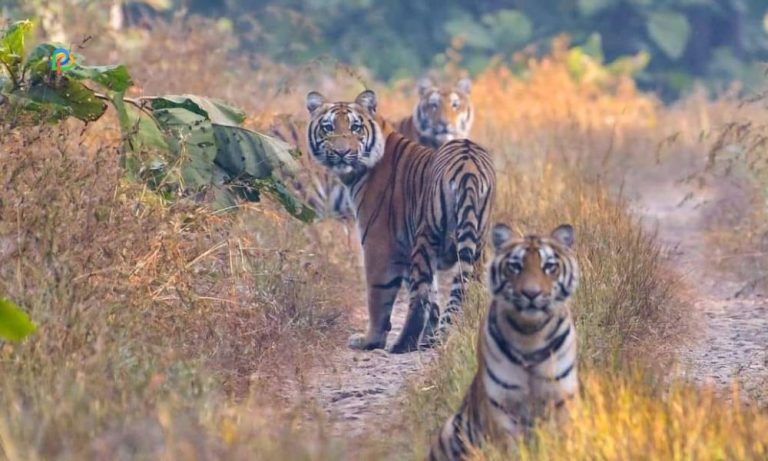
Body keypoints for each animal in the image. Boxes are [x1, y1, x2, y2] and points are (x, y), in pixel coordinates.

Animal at [305, 89, 495, 353]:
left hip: (426, 237)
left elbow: (379, 297)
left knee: (419, 297)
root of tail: (469, 166)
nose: (342, 152)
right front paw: (429, 339)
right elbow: (435, 299)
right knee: (467, 289)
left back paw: (401, 344)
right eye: (328, 127)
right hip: (476, 243)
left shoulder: (379, 244)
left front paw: (370, 341)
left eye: (355, 127)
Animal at [429, 223, 580, 461]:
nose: (531, 293)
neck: (530, 335)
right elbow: (509, 449)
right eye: (515, 266)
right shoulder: (500, 405)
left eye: (549, 267)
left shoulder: (561, 399)